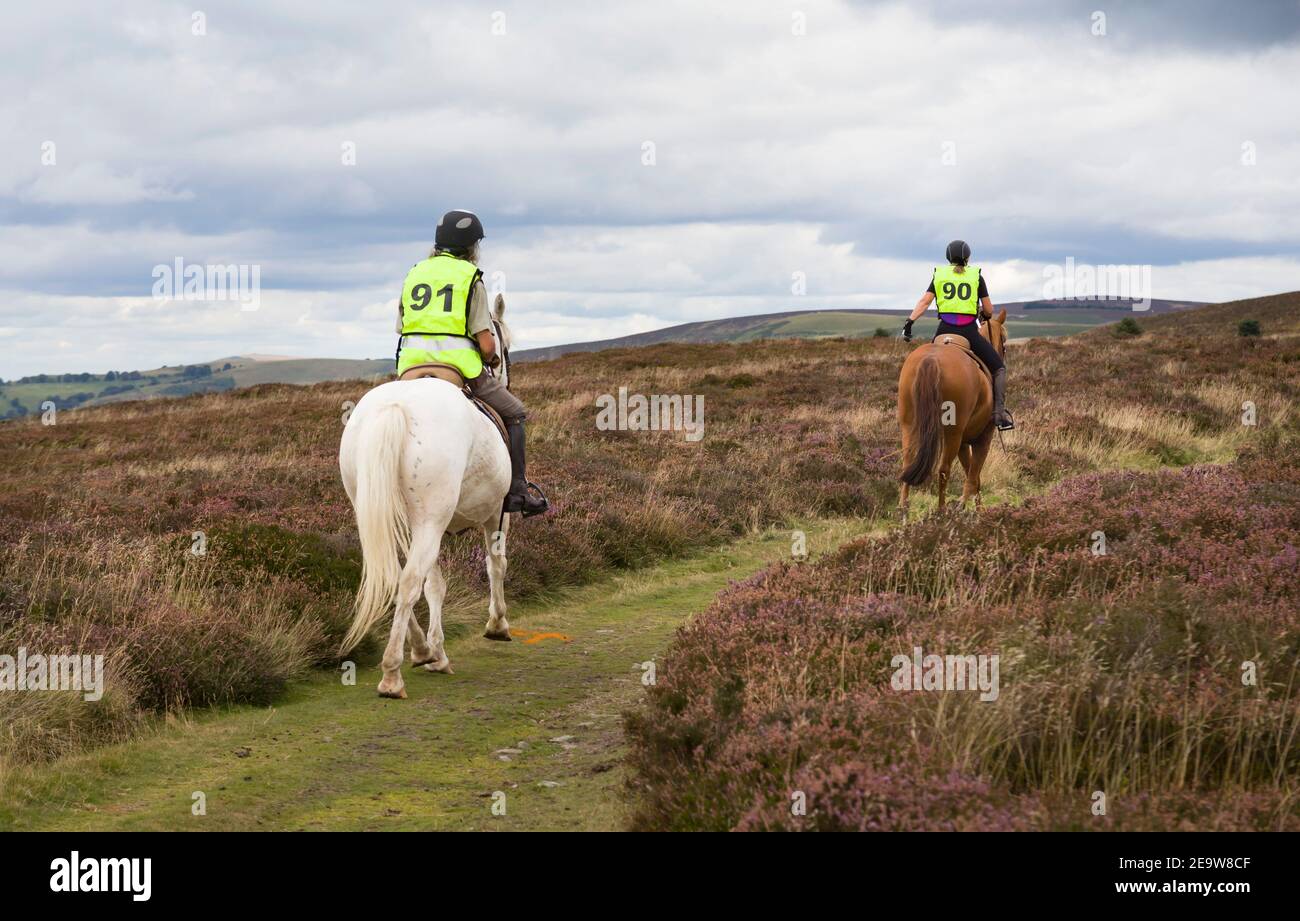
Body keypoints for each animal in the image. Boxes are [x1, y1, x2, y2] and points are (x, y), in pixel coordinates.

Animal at [338, 294, 515, 699]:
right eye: (503, 345)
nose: (501, 368)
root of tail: (395, 407)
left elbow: (435, 584)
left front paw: (436, 651)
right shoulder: (496, 513)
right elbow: (495, 564)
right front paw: (497, 625)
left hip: (396, 517)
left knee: (396, 577)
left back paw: (419, 650)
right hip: (432, 520)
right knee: (408, 581)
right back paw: (392, 674)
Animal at [896, 309, 1008, 517]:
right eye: (1004, 340)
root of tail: (932, 358)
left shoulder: (964, 443)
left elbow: (972, 475)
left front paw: (978, 509)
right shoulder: (982, 439)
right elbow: (973, 476)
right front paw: (968, 507)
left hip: (910, 425)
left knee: (908, 463)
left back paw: (904, 508)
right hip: (952, 433)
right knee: (943, 469)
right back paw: (942, 511)